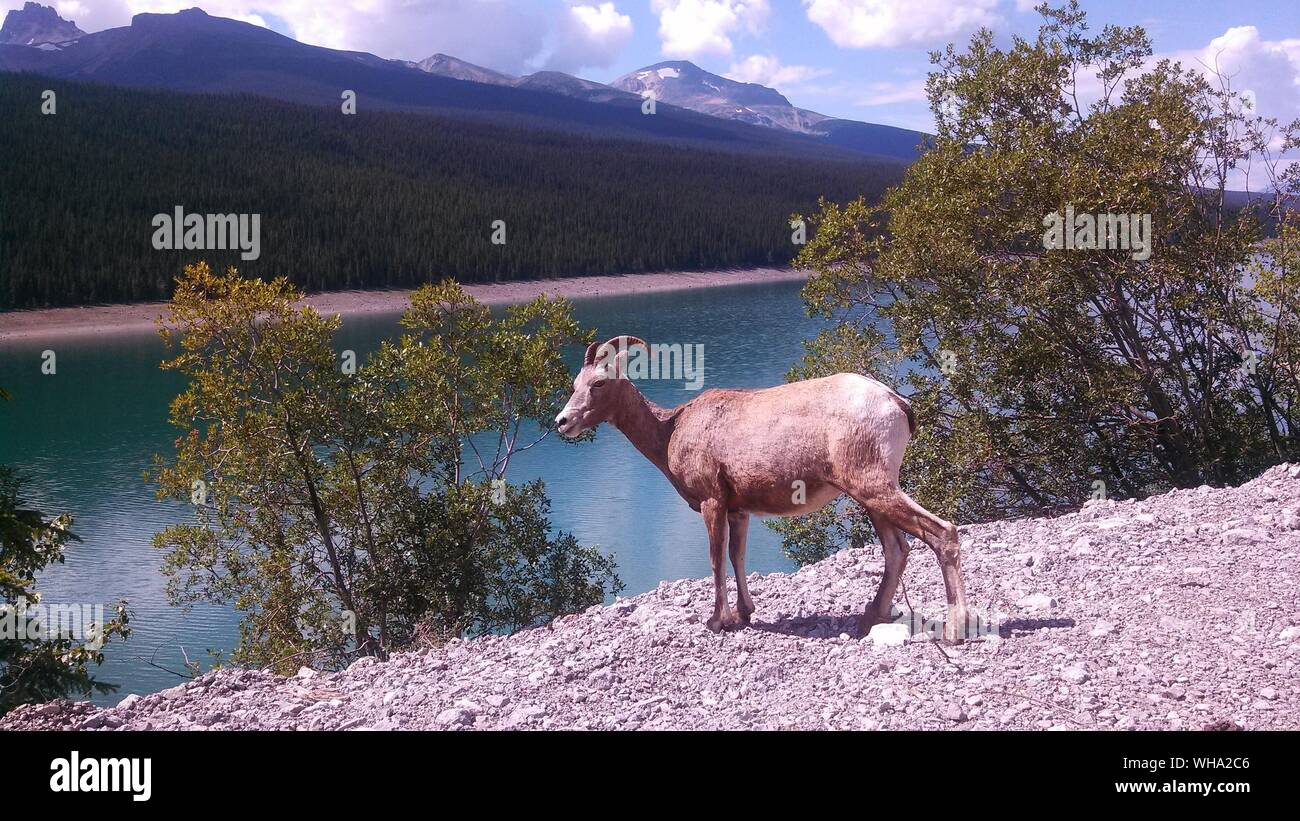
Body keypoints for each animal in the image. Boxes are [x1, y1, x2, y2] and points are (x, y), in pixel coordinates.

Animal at [555, 336, 972, 642]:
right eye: (575, 385)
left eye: (598, 384)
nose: (563, 422)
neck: (670, 432)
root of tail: (896, 404)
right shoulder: (739, 510)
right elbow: (737, 557)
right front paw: (745, 614)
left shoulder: (712, 502)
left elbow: (716, 559)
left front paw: (717, 622)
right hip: (870, 494)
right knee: (897, 549)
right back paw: (869, 620)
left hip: (873, 486)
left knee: (942, 534)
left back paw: (954, 630)